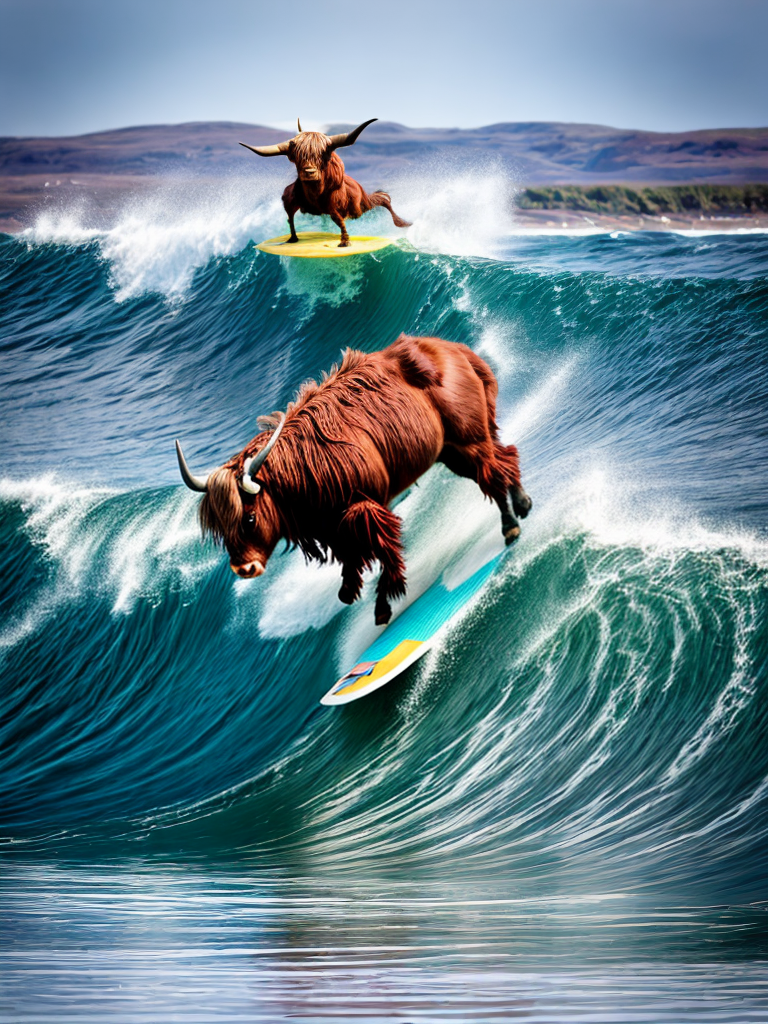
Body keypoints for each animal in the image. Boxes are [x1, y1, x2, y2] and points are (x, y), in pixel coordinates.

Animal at [176, 335, 531, 625]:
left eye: (249, 518)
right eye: (221, 532)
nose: (243, 569)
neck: (299, 465)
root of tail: (454, 349)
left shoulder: (365, 509)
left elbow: (384, 551)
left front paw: (383, 606)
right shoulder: (334, 526)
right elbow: (353, 566)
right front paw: (356, 593)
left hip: (468, 441)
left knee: (494, 472)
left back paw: (511, 526)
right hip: (450, 451)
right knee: (505, 458)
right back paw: (523, 504)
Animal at [240, 118, 411, 247]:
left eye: (322, 156)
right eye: (297, 157)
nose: (309, 172)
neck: (316, 193)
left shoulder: (338, 205)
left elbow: (338, 218)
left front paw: (345, 242)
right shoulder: (290, 199)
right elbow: (290, 217)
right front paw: (293, 238)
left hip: (361, 207)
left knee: (381, 200)